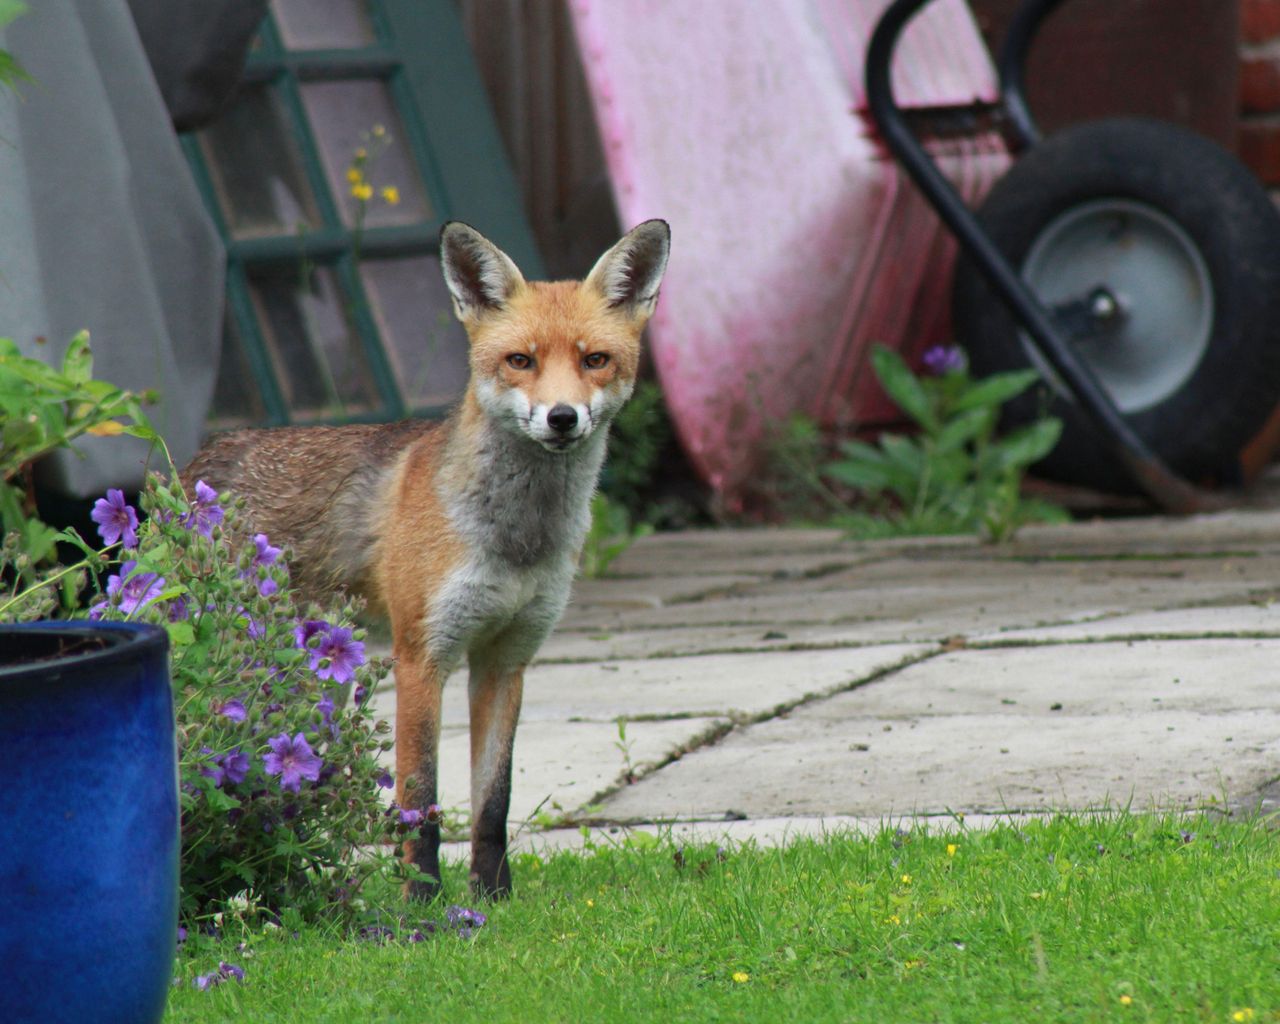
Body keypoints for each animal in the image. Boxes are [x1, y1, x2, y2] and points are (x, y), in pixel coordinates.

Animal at [184, 219, 670, 899]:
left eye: (594, 360)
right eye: (520, 361)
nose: (562, 417)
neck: (516, 540)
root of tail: (200, 461)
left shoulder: (506, 660)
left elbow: (493, 801)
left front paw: (492, 899)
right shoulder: (422, 656)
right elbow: (421, 800)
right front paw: (423, 902)